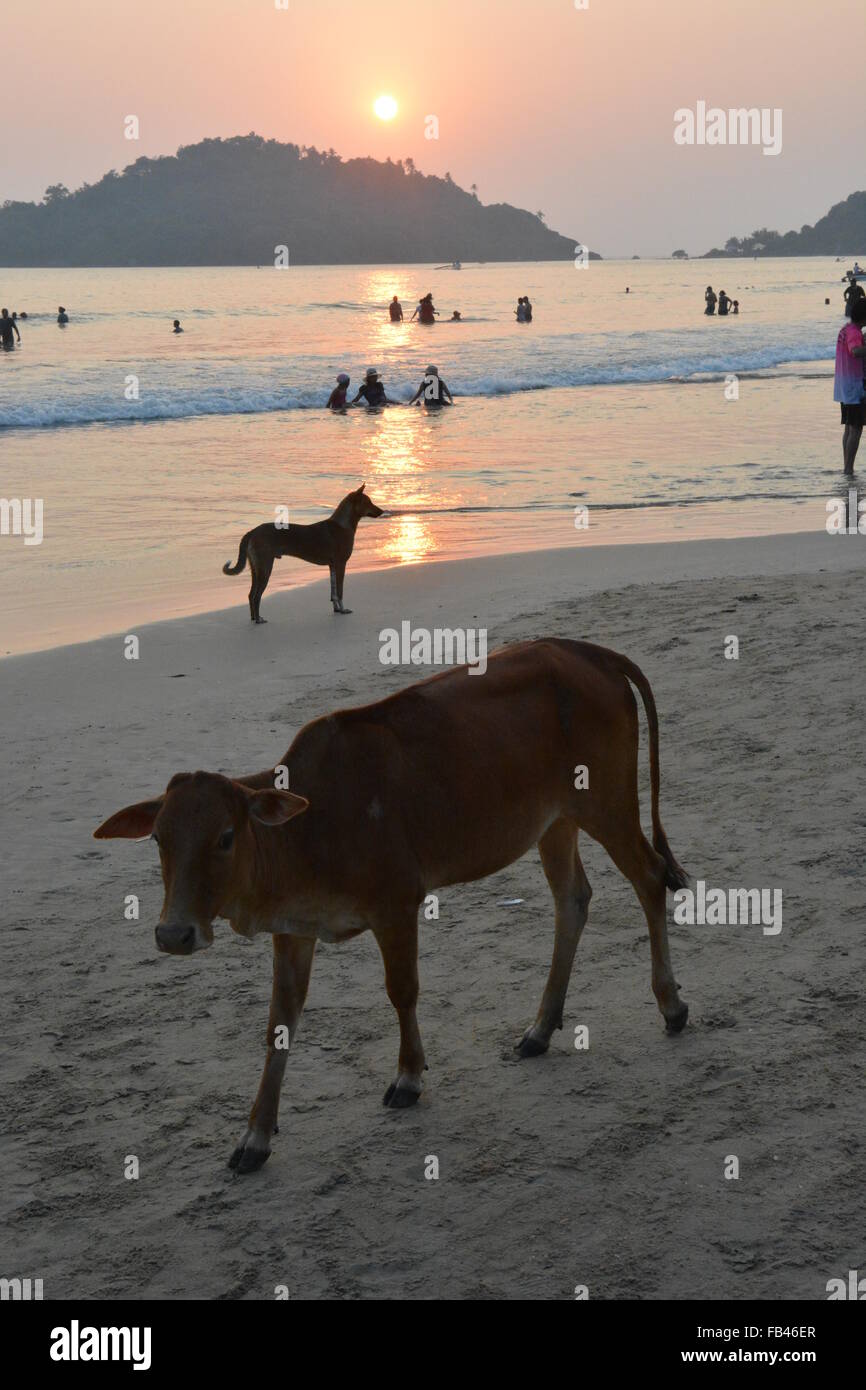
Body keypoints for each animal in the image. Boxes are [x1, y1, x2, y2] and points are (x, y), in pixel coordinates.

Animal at [94, 638, 689, 1174]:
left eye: (224, 837)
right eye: (159, 839)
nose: (175, 935)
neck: (309, 828)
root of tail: (590, 651)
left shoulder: (397, 903)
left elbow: (402, 991)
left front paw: (408, 1076)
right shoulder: (294, 930)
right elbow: (279, 1022)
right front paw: (255, 1136)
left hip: (605, 801)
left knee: (650, 877)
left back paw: (671, 1005)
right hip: (555, 819)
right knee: (573, 901)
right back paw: (540, 1029)